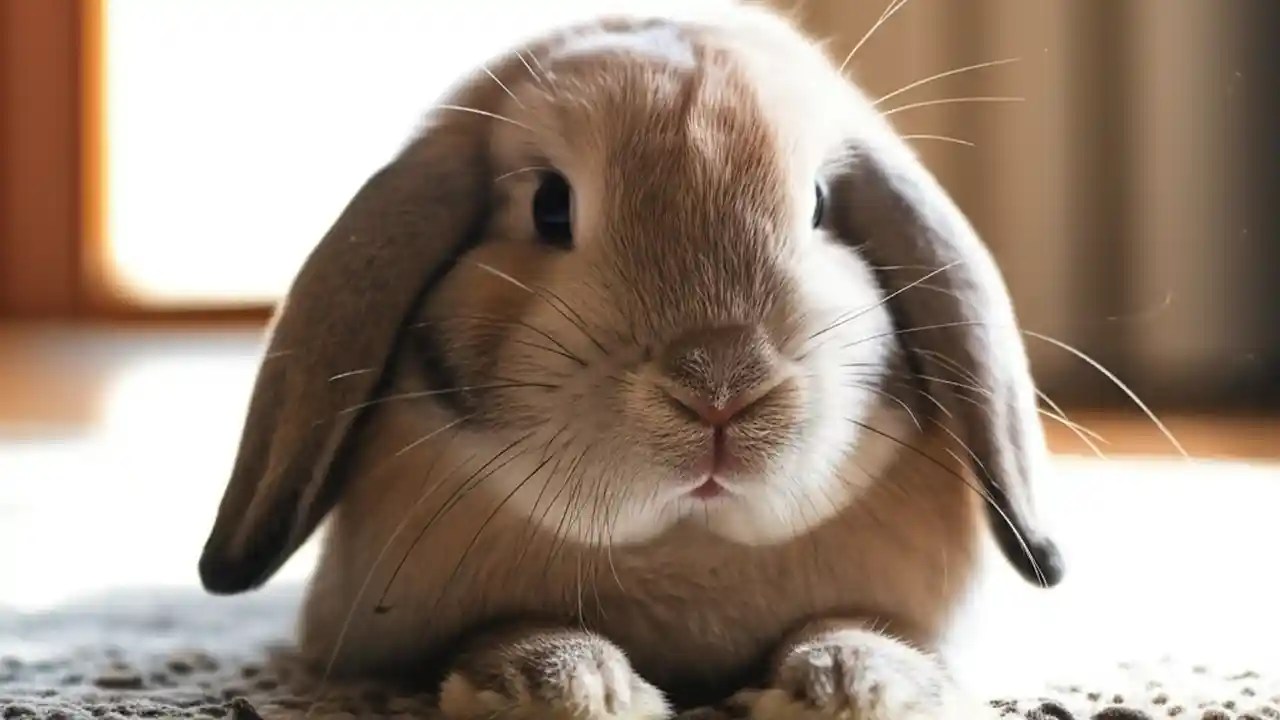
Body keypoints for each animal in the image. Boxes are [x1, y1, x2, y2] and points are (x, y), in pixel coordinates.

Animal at [197, 4, 1064, 719]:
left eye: (820, 206)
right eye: (550, 206)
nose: (719, 389)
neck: (685, 548)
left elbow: (860, 625)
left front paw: (854, 685)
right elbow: (505, 628)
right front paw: (564, 688)